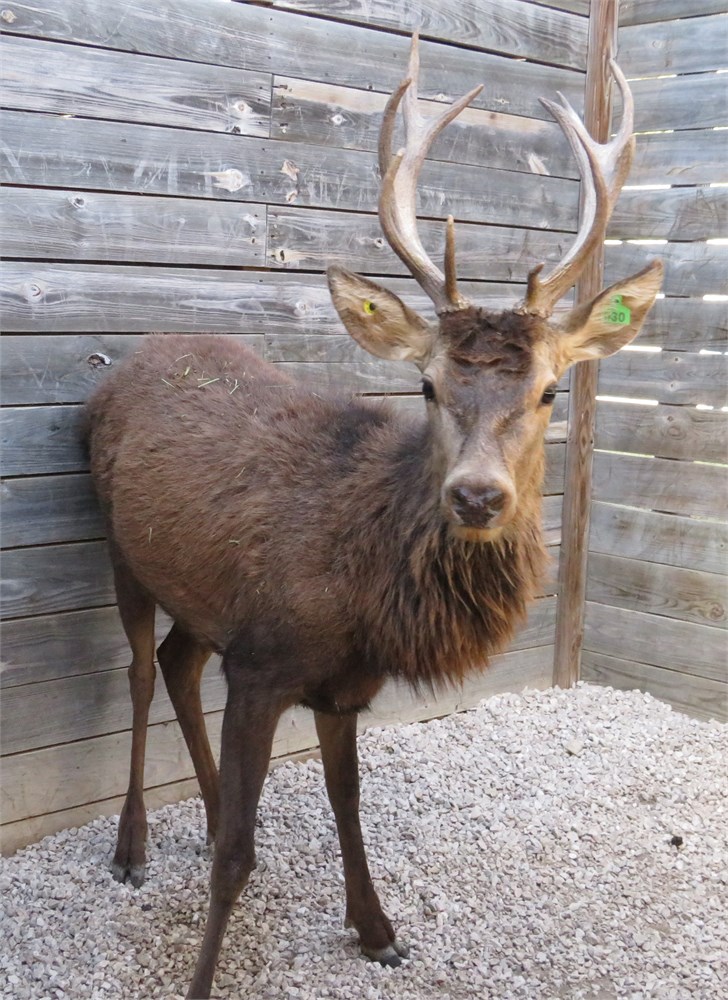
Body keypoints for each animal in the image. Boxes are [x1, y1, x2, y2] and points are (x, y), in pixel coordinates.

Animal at [84, 34, 662, 998]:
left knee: (174, 662)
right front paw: (205, 970)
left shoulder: (342, 682)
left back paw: (204, 807)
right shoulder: (263, 662)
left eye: (551, 389)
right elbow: (238, 857)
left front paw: (377, 930)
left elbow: (346, 803)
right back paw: (132, 847)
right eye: (426, 383)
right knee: (135, 668)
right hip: (120, 548)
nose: (478, 495)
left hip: (204, 598)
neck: (366, 598)